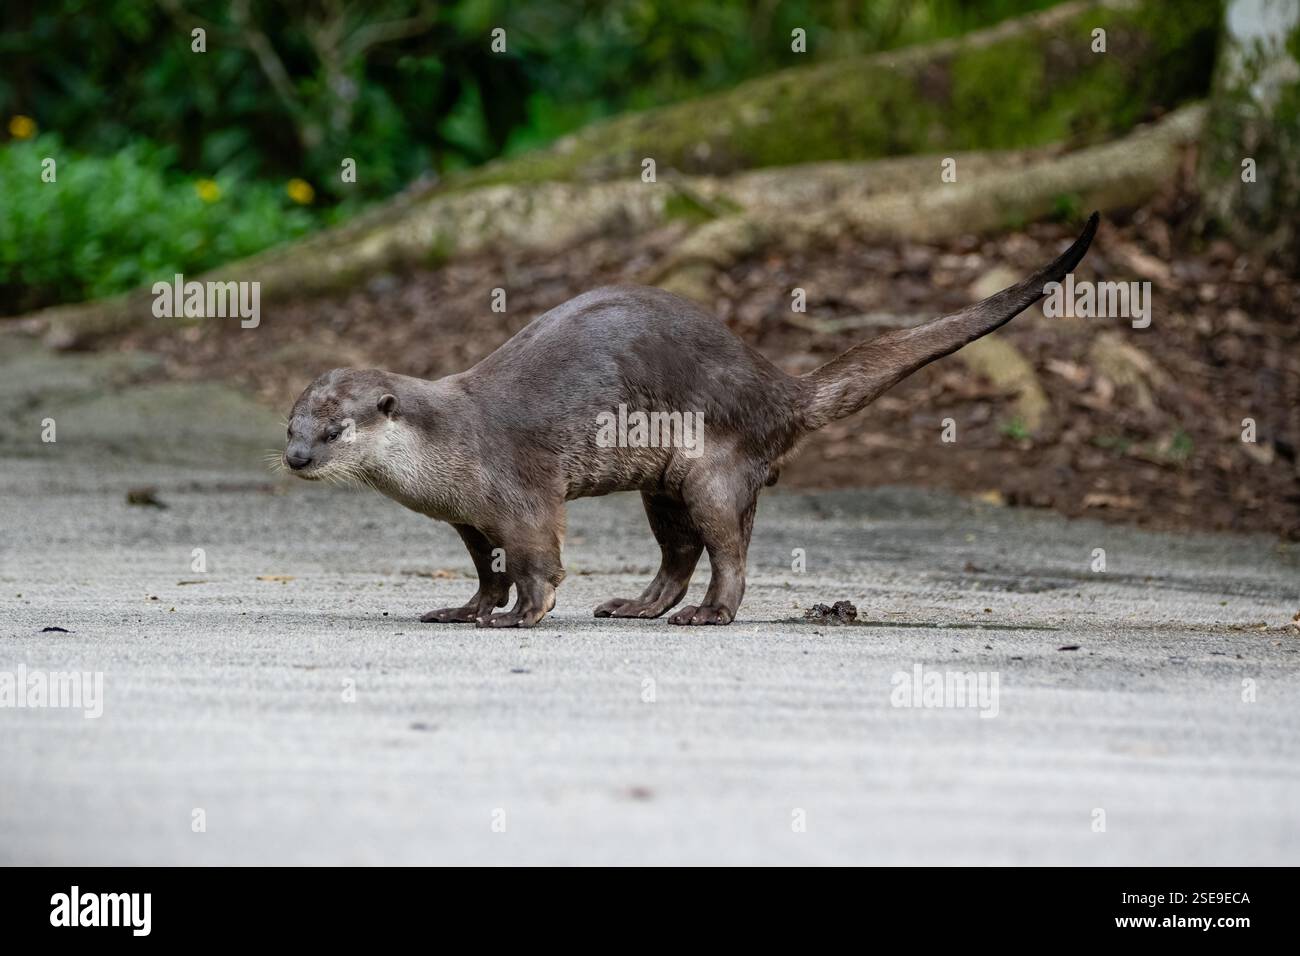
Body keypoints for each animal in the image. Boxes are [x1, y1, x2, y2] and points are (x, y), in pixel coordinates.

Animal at [283, 213, 1098, 627]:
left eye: (334, 430)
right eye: (292, 428)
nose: (296, 461)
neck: (452, 443)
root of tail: (775, 388)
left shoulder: (521, 493)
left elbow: (536, 562)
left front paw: (520, 615)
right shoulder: (467, 516)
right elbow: (486, 569)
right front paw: (465, 609)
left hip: (713, 466)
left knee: (727, 552)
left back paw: (709, 614)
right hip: (662, 485)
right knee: (679, 554)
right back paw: (636, 607)